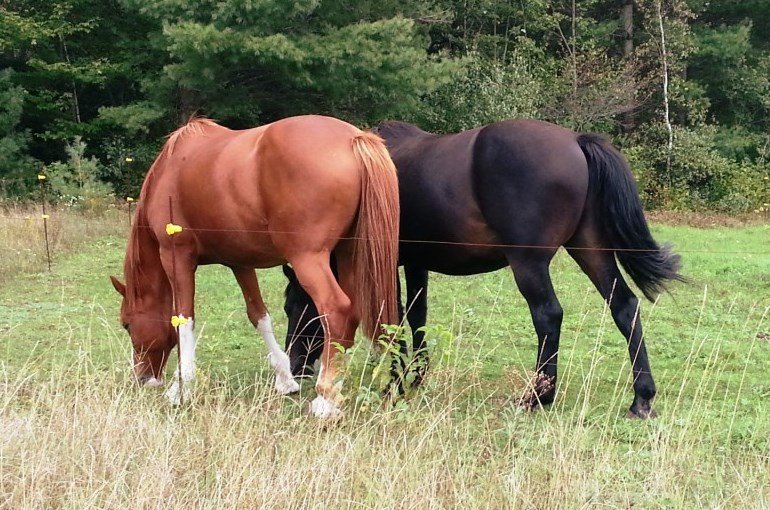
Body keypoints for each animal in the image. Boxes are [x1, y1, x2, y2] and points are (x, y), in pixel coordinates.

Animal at [109, 115, 400, 420]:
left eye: (127, 324)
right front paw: (285, 379)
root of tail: (354, 139)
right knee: (352, 313)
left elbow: (183, 320)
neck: (171, 168)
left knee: (337, 310)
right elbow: (258, 315)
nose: (143, 378)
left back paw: (325, 399)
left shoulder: (176, 256)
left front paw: (181, 389)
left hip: (309, 259)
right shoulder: (240, 262)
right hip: (348, 255)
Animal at [282, 119, 685, 419]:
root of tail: (576, 140)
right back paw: (641, 398)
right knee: (624, 308)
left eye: (293, 307)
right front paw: (416, 376)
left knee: (549, 315)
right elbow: (417, 313)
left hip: (529, 262)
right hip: (591, 249)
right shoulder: (416, 262)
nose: (295, 368)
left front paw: (395, 383)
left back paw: (537, 397)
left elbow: (392, 316)